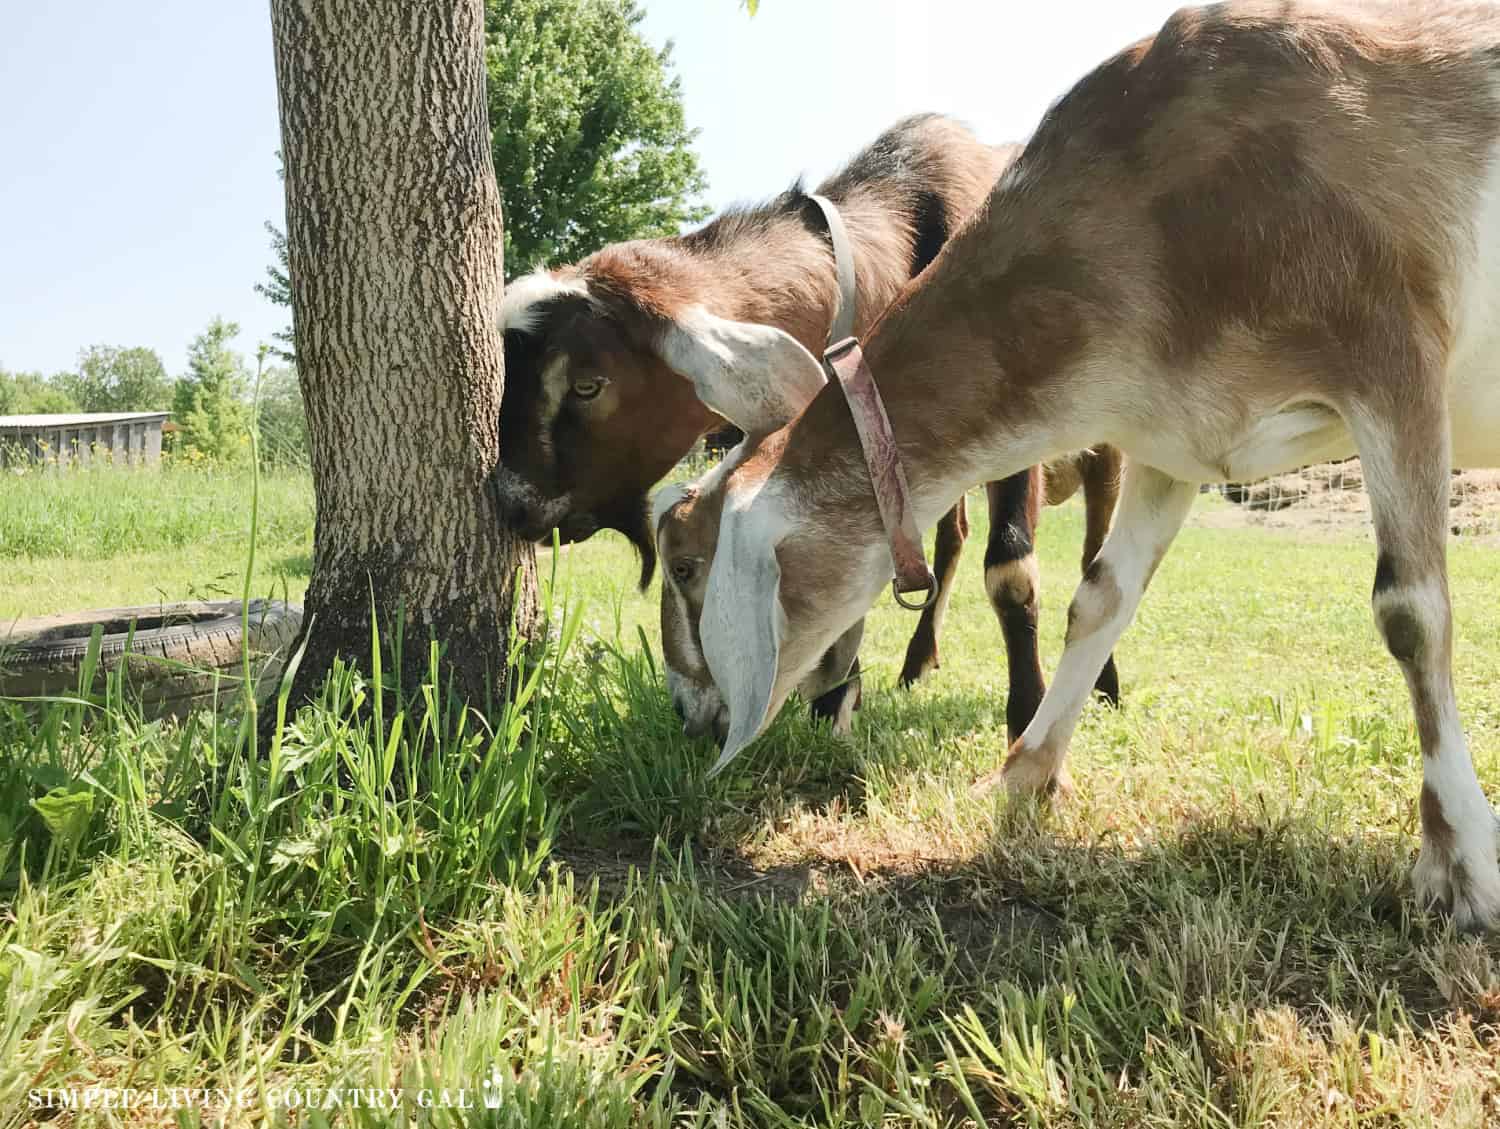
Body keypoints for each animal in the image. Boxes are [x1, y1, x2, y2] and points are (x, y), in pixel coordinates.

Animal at [494, 113, 1123, 737]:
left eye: (587, 384)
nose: (512, 503)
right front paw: (835, 700)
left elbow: (1011, 573)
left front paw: (1026, 714)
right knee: (953, 535)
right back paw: (918, 662)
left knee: (1098, 537)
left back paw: (1106, 682)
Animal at [657, 1, 1500, 931]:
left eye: (687, 563)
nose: (688, 712)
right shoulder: (1176, 434)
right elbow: (1098, 597)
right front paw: (1020, 780)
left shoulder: (1392, 353)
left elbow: (1410, 610)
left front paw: (1459, 865)